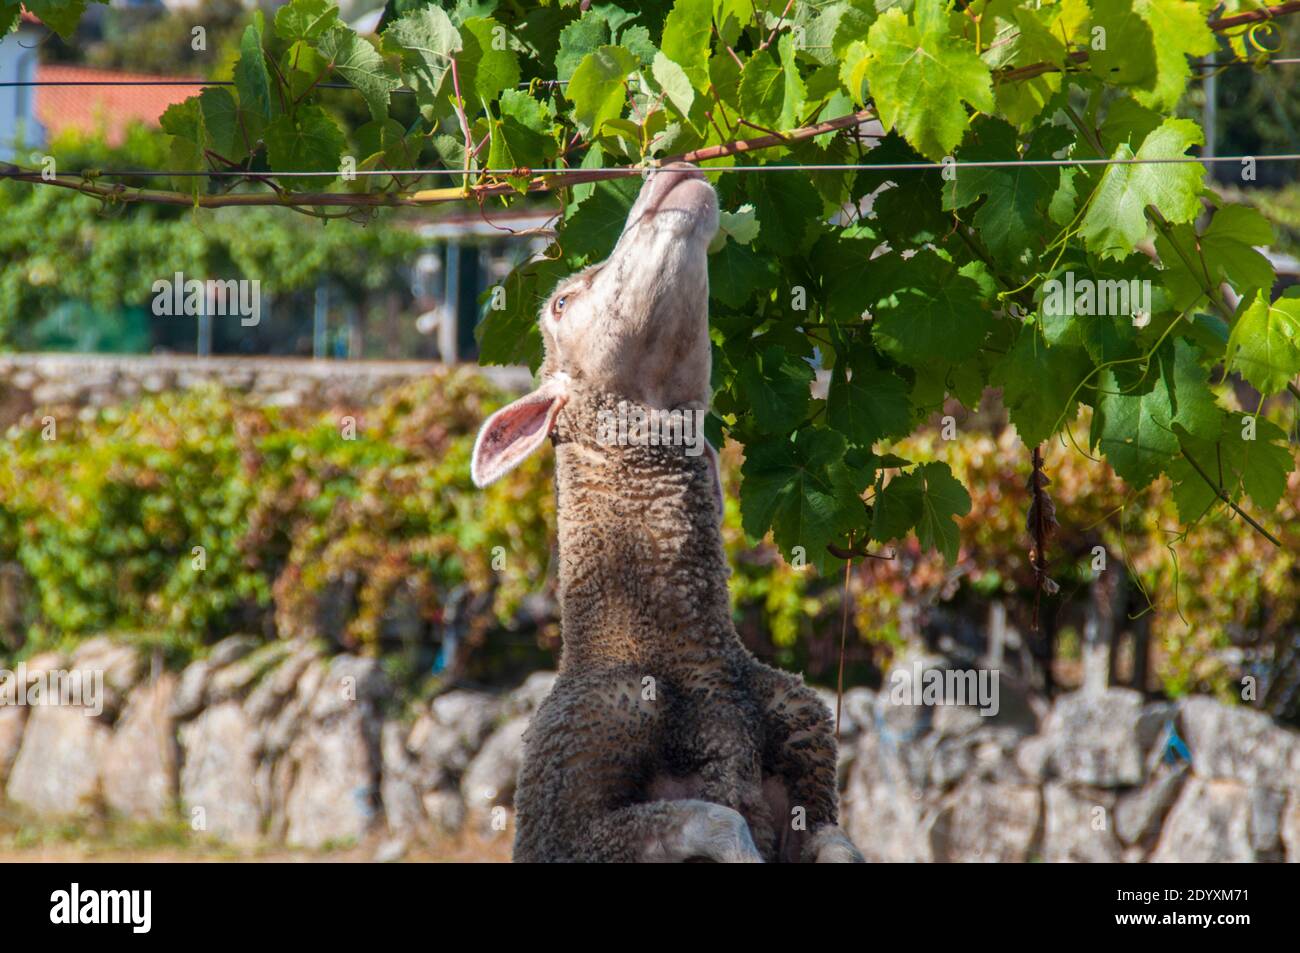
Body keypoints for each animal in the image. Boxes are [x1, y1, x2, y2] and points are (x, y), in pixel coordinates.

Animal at [471, 162, 862, 863]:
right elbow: (713, 818)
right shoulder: (573, 812)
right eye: (561, 302)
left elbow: (836, 840)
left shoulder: (809, 760)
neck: (697, 669)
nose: (677, 172)